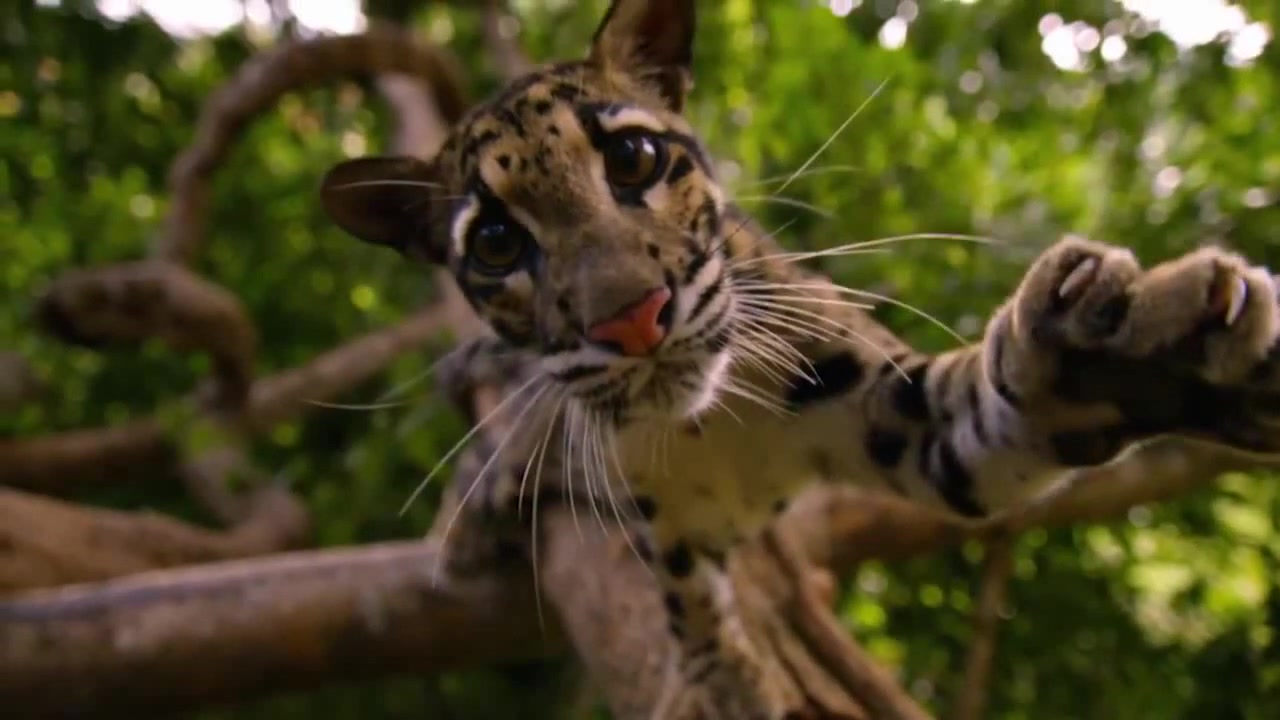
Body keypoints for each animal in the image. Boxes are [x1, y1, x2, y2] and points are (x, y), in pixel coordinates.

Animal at [319, 0, 1280, 709]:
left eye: (633, 157)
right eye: (493, 245)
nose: (631, 320)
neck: (709, 428)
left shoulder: (893, 411)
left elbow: (1003, 403)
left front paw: (1133, 352)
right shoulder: (650, 510)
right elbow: (683, 588)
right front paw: (728, 677)